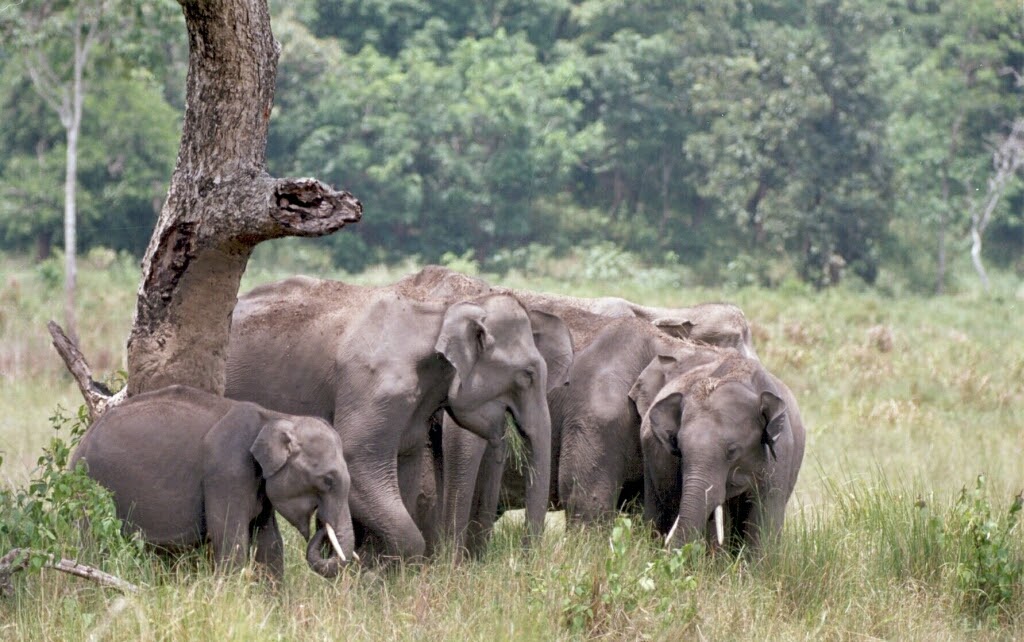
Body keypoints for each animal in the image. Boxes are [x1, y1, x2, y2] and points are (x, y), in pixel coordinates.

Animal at [70, 385, 355, 580]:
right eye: (328, 480)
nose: (321, 526)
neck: (275, 416)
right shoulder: (228, 471)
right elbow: (231, 541)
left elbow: (270, 544)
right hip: (91, 487)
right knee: (92, 544)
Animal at [225, 275, 572, 561]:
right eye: (527, 375)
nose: (524, 560)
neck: (438, 313)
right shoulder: (375, 387)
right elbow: (358, 462)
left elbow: (405, 466)